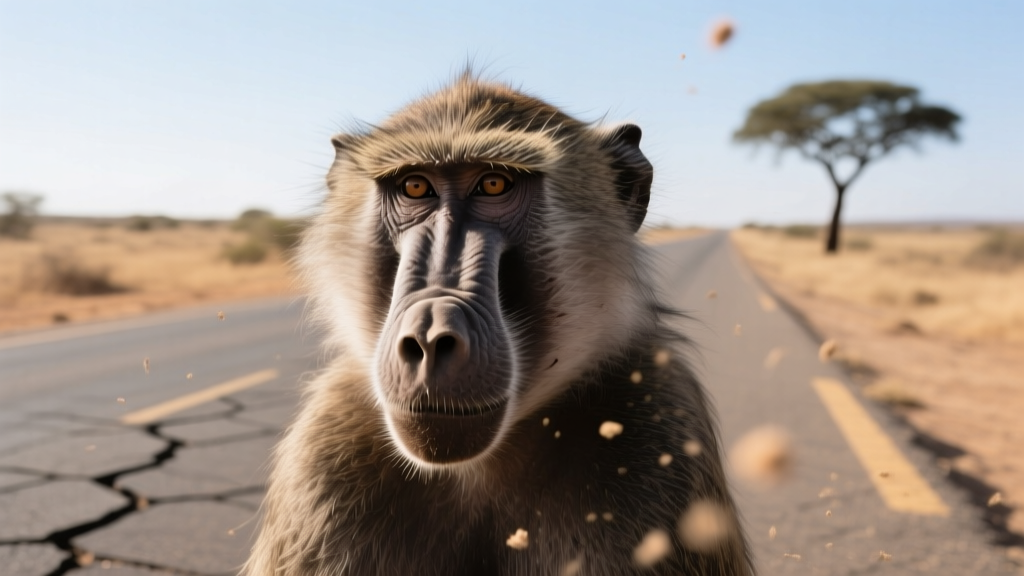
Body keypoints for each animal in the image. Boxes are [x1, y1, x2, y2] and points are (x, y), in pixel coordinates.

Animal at [244, 74, 752, 576]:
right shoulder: (326, 451)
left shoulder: (658, 431)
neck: (474, 469)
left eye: (493, 185)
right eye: (415, 187)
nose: (430, 337)